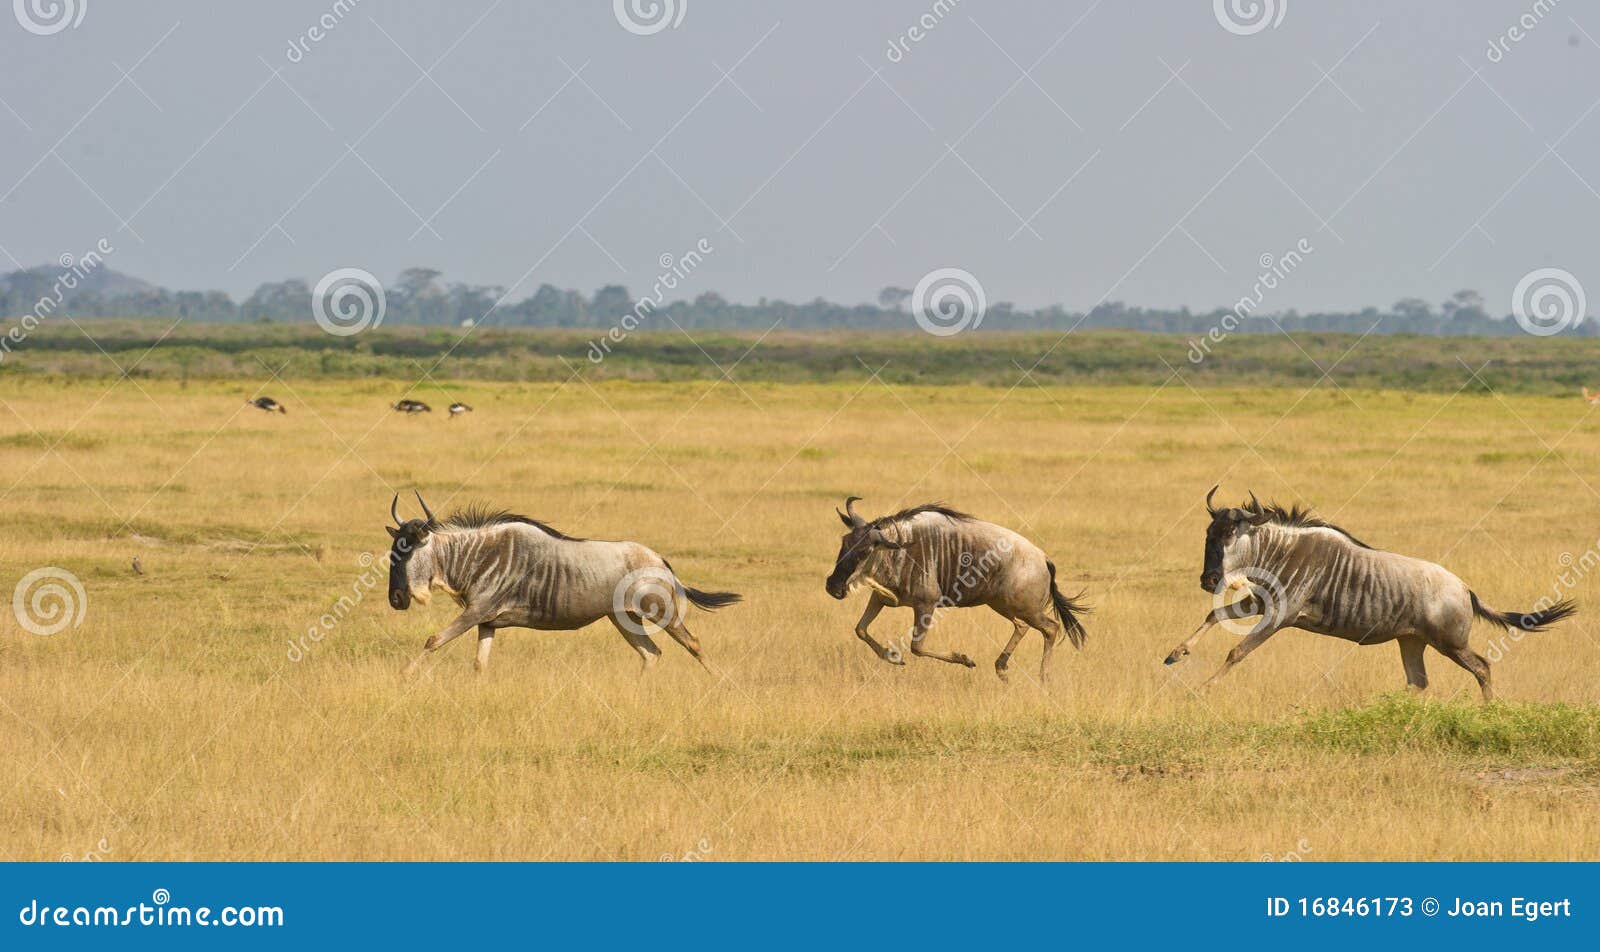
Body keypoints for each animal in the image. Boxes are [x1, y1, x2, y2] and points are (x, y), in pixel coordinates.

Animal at [387, 492, 740, 676]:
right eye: (391, 553)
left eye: (406, 553)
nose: (396, 599)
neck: (475, 556)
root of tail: (660, 561)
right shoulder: (486, 621)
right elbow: (479, 663)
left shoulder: (475, 612)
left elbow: (433, 640)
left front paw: (404, 676)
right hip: (623, 619)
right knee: (651, 653)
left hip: (661, 612)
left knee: (692, 643)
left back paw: (717, 682)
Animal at [825, 497, 1087, 684]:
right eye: (844, 542)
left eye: (865, 551)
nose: (833, 587)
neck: (899, 551)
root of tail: (1044, 559)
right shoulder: (881, 597)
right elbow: (860, 629)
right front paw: (893, 657)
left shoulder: (926, 605)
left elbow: (917, 647)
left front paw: (965, 659)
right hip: (1002, 604)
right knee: (1022, 627)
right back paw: (1001, 668)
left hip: (1026, 609)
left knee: (1051, 628)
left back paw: (1044, 678)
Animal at [1164, 487, 1577, 700]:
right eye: (1208, 535)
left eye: (1231, 535)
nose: (1208, 580)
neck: (1282, 552)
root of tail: (1465, 589)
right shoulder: (1261, 601)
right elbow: (1215, 615)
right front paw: (1176, 653)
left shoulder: (1281, 614)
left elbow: (1237, 650)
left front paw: (1203, 689)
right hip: (1411, 641)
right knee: (1418, 682)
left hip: (1450, 643)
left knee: (1482, 667)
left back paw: (1489, 712)